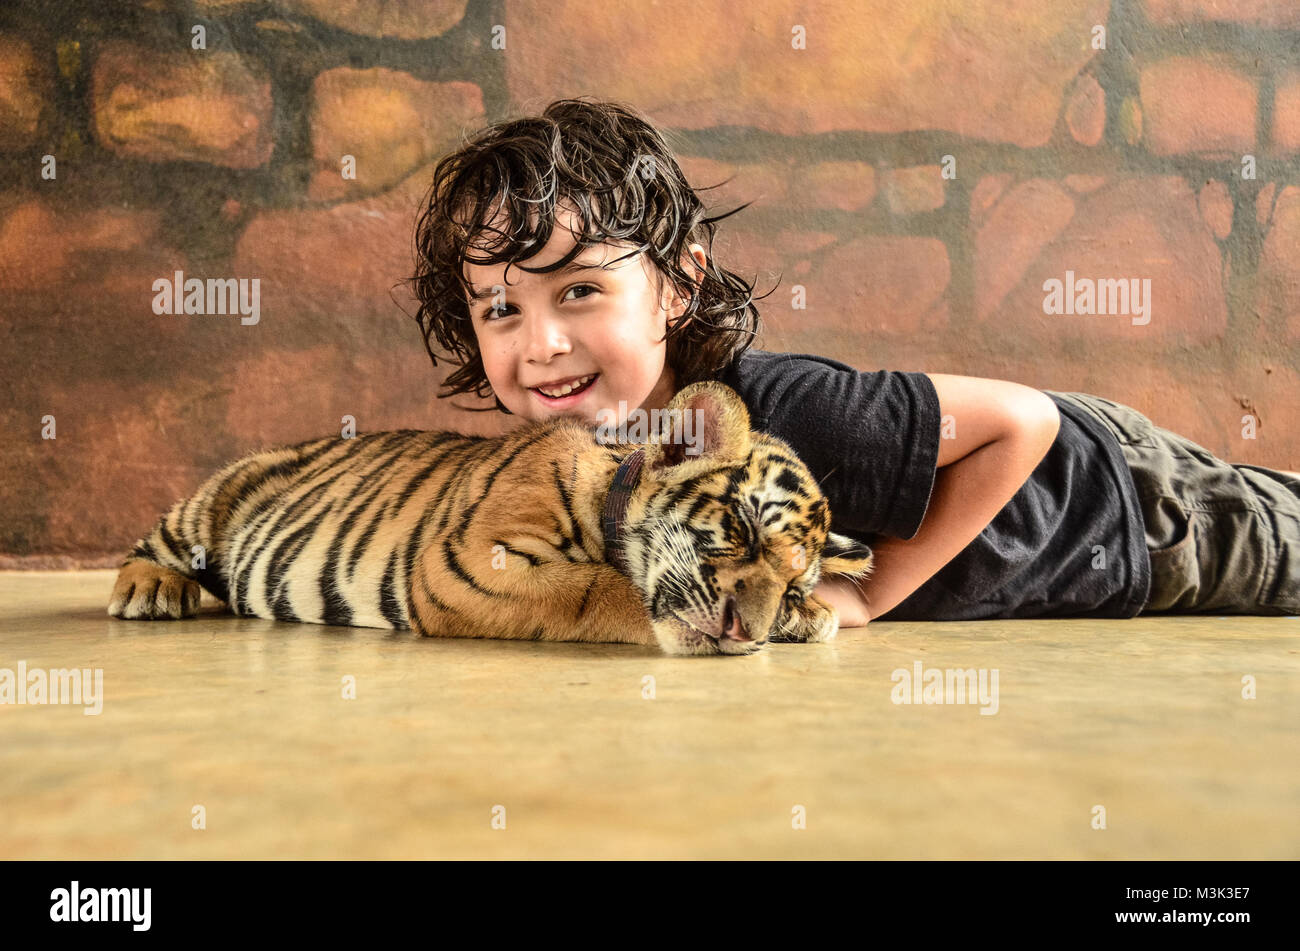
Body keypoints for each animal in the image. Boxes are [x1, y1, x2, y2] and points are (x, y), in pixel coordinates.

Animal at [107, 381, 875, 656]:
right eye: (740, 530)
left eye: (794, 582)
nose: (747, 633)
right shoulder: (471, 562)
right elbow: (600, 588)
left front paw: (808, 619)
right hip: (210, 505)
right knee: (153, 541)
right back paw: (151, 590)